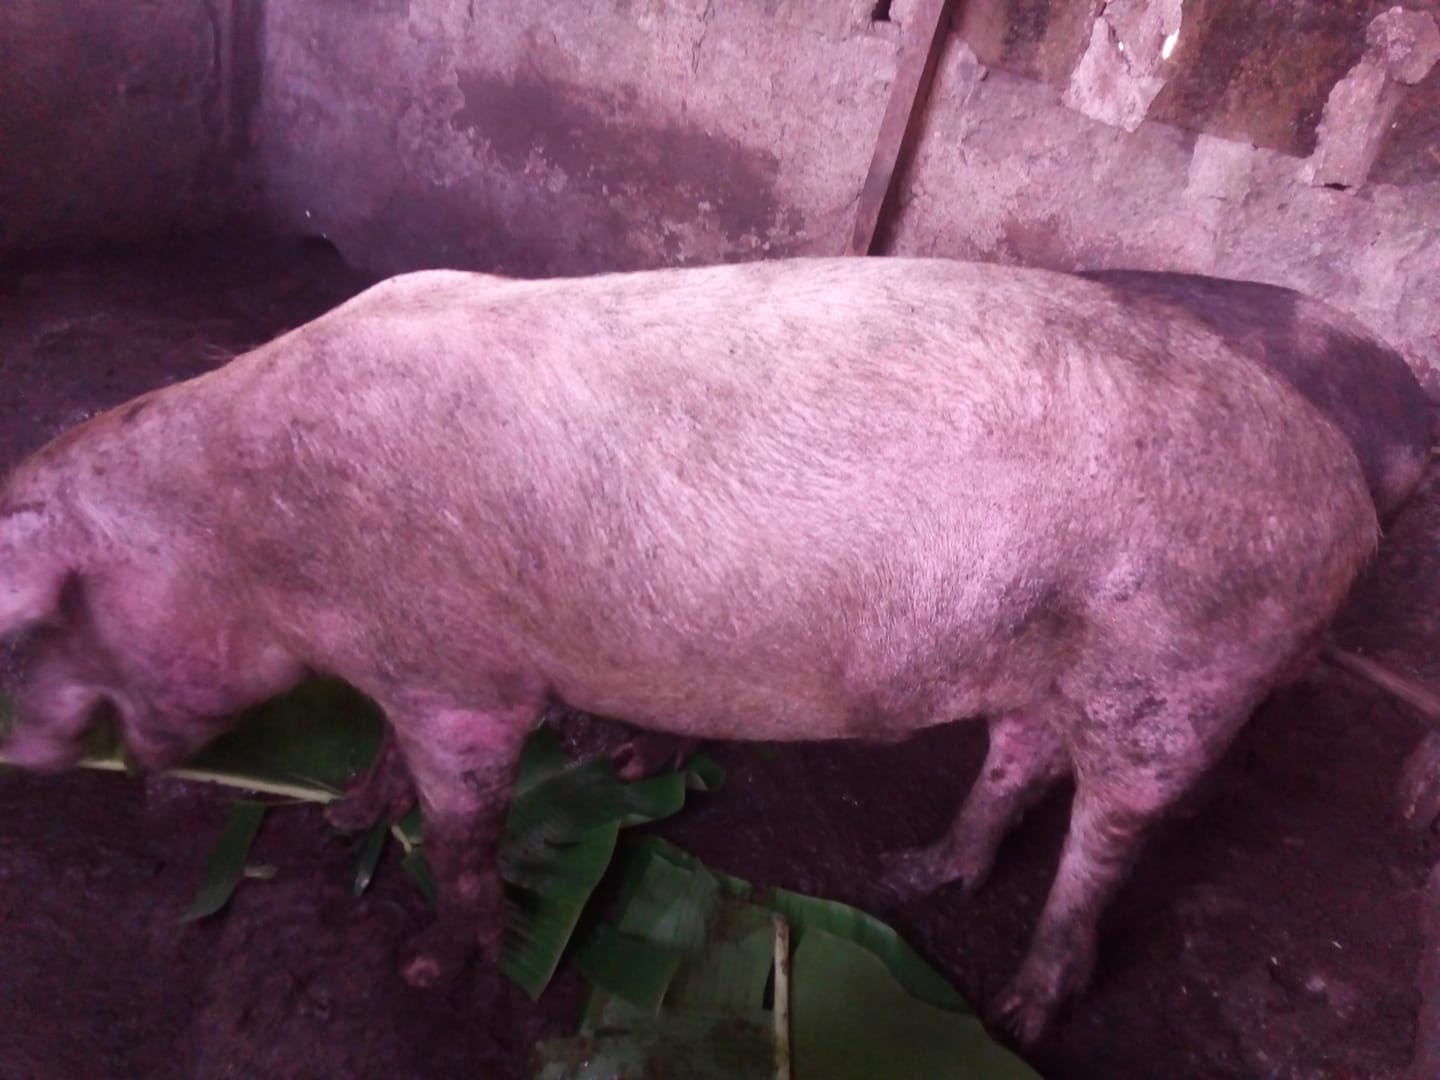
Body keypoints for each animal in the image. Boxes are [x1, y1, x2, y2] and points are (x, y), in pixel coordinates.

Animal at [0, 257, 1377, 1045]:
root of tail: (1348, 498)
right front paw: (345, 814)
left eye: (40, 630)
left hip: (1187, 662)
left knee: (1112, 828)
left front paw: (426, 966)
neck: (253, 537)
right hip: (1053, 653)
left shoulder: (462, 676)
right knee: (1021, 755)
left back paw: (1018, 1008)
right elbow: (390, 759)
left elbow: (465, 825)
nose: (28, 754)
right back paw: (917, 875)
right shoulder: (403, 661)